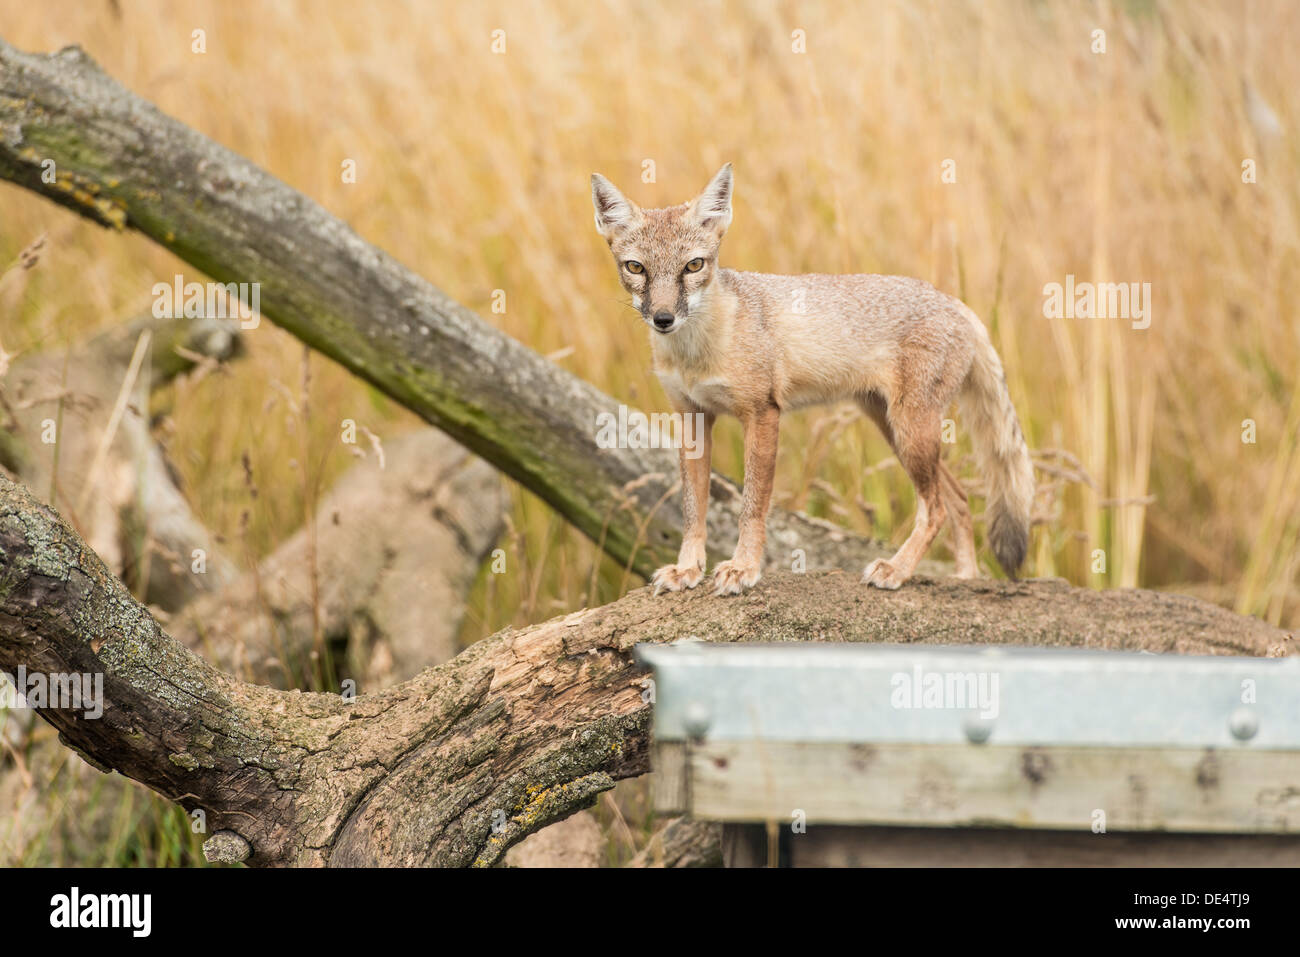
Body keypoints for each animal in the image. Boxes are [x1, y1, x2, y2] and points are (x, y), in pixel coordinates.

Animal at [591, 163, 1035, 596]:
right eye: (636, 268)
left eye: (693, 266)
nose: (663, 318)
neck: (696, 353)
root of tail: (956, 303)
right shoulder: (692, 418)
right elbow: (692, 509)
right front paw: (688, 570)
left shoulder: (763, 414)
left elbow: (752, 506)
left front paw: (743, 568)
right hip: (895, 429)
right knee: (958, 498)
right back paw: (966, 578)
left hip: (911, 432)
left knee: (937, 507)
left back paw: (897, 569)